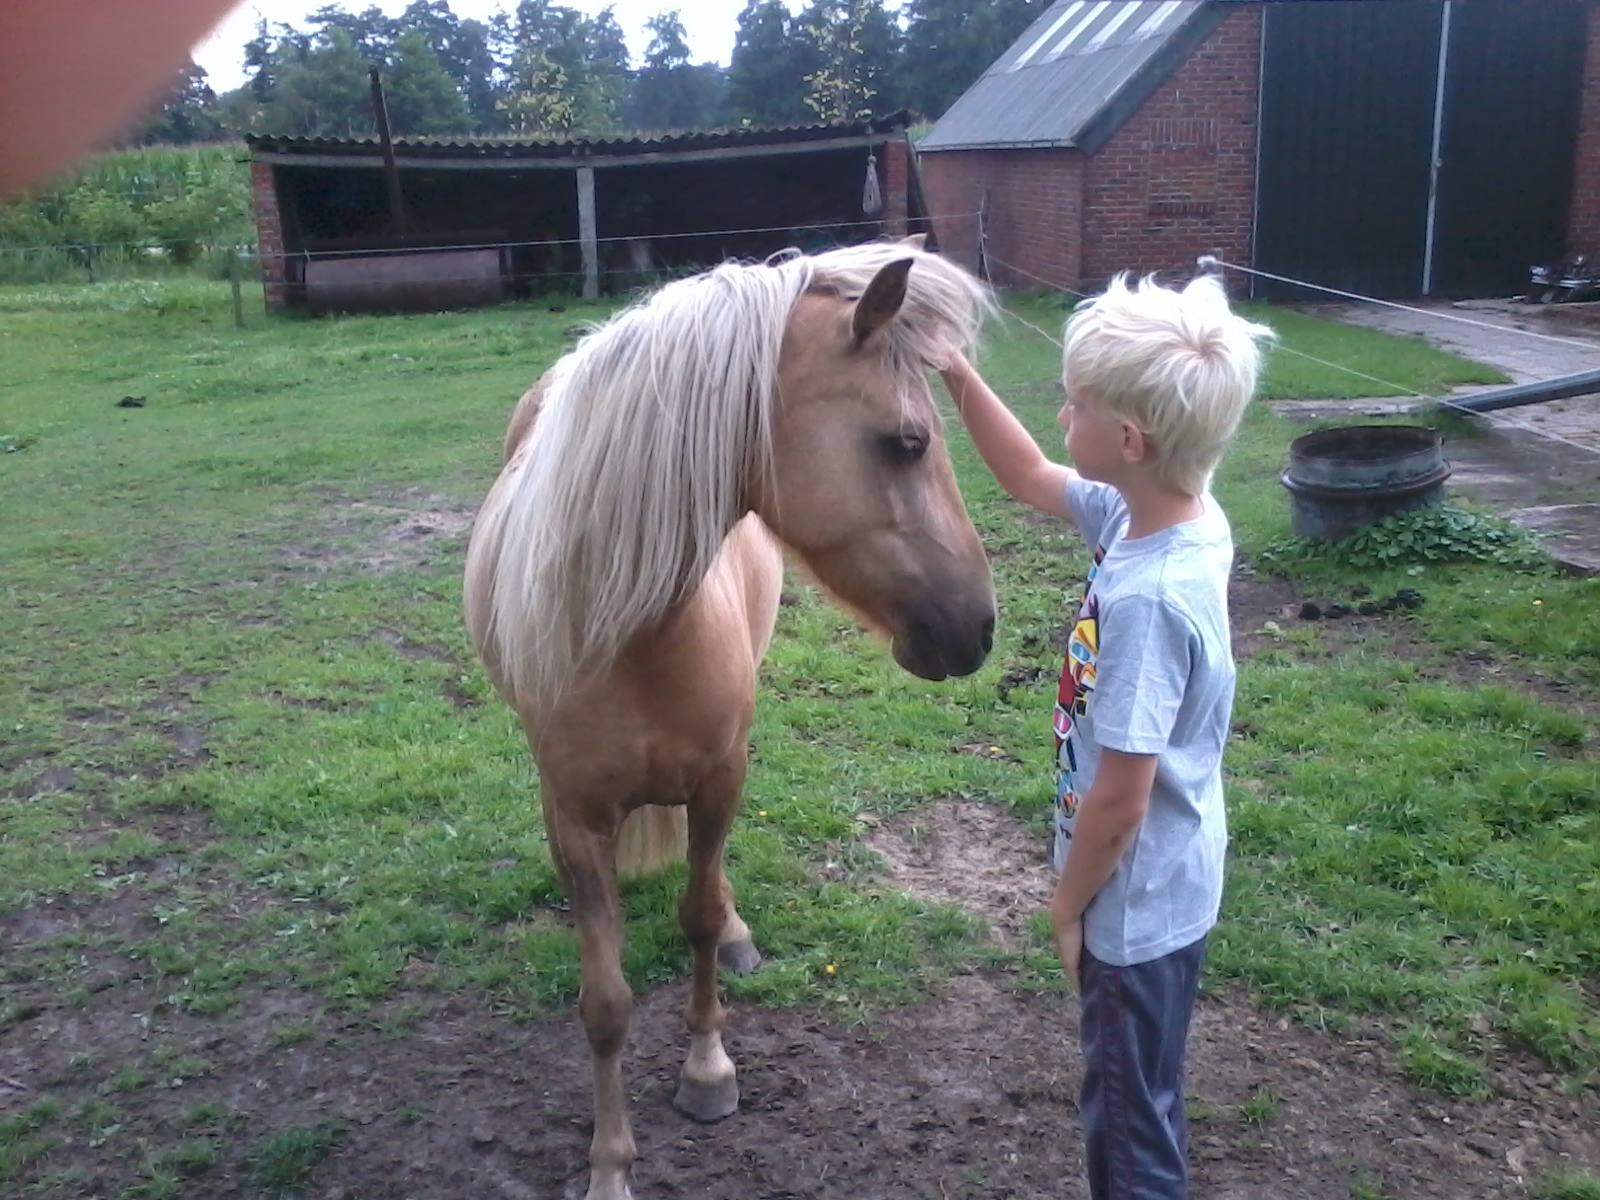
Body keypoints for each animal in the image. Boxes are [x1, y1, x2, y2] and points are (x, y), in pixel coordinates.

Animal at [462, 237, 997, 1200]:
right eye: (907, 442)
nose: (979, 628)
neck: (630, 633)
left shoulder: (720, 779)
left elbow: (702, 917)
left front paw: (708, 1071)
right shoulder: (575, 818)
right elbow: (605, 1001)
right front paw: (609, 1164)